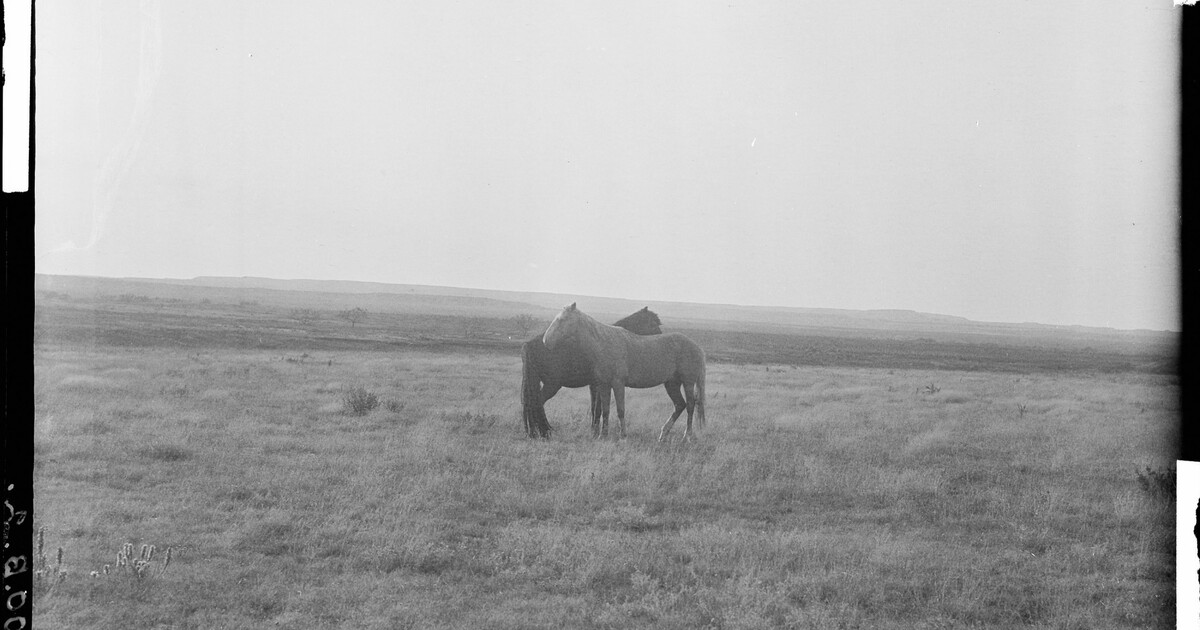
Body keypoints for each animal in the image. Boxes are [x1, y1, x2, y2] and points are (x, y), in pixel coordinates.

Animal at [520, 307, 663, 438]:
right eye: (653, 324)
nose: (661, 338)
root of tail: (528, 344)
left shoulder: (595, 385)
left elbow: (595, 408)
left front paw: (594, 430)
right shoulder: (599, 384)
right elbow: (599, 408)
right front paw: (597, 432)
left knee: (529, 403)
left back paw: (534, 432)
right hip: (552, 385)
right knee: (537, 402)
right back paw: (544, 431)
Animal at [543, 303, 706, 442]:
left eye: (562, 319)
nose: (546, 341)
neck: (604, 343)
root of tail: (696, 347)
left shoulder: (618, 383)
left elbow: (620, 410)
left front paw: (623, 436)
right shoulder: (603, 385)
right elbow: (605, 410)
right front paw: (603, 435)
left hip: (688, 382)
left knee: (691, 405)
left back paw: (687, 436)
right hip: (672, 384)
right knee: (679, 405)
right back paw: (663, 435)